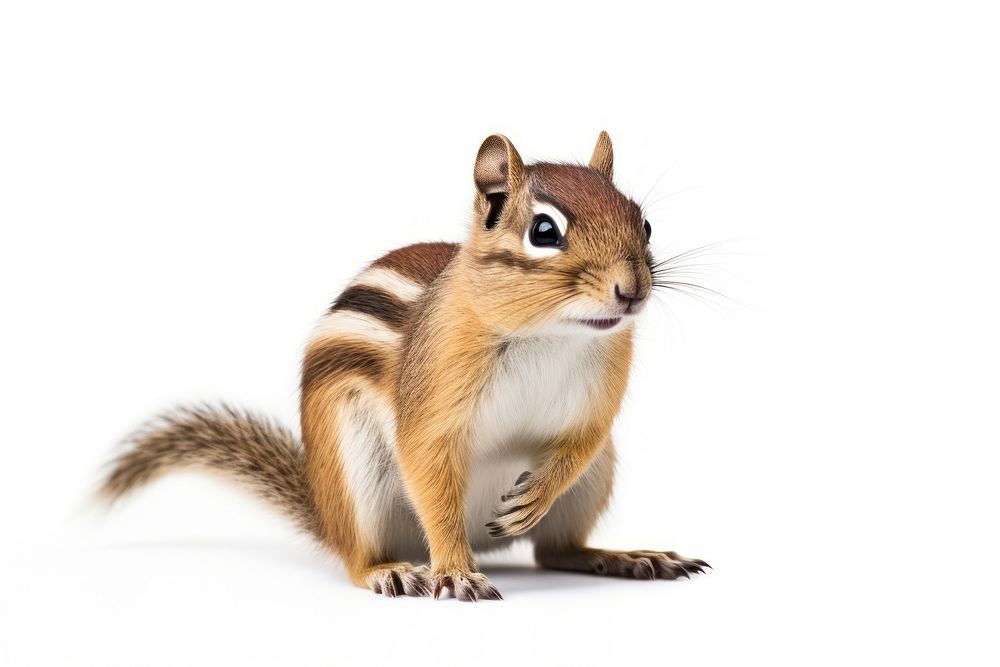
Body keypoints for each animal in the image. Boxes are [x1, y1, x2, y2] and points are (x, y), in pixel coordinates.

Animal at [101, 132, 710, 601]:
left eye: (645, 224)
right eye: (543, 231)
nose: (632, 291)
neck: (549, 334)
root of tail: (325, 511)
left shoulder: (600, 399)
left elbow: (583, 439)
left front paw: (535, 496)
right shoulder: (432, 405)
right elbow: (430, 472)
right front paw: (457, 573)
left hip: (597, 477)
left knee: (557, 551)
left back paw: (626, 556)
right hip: (355, 472)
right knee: (357, 557)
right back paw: (390, 571)